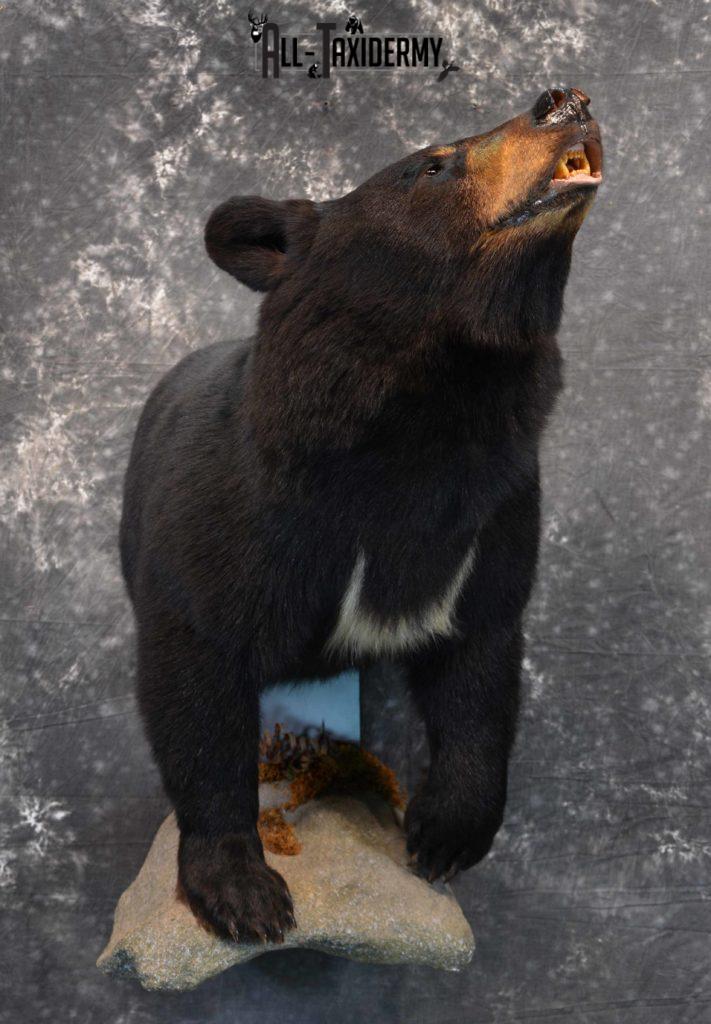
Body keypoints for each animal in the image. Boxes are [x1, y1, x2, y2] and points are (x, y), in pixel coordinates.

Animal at [119, 86, 602, 943]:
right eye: (431, 165)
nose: (564, 101)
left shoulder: (496, 507)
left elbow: (480, 660)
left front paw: (443, 836)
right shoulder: (228, 524)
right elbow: (197, 686)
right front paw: (243, 894)